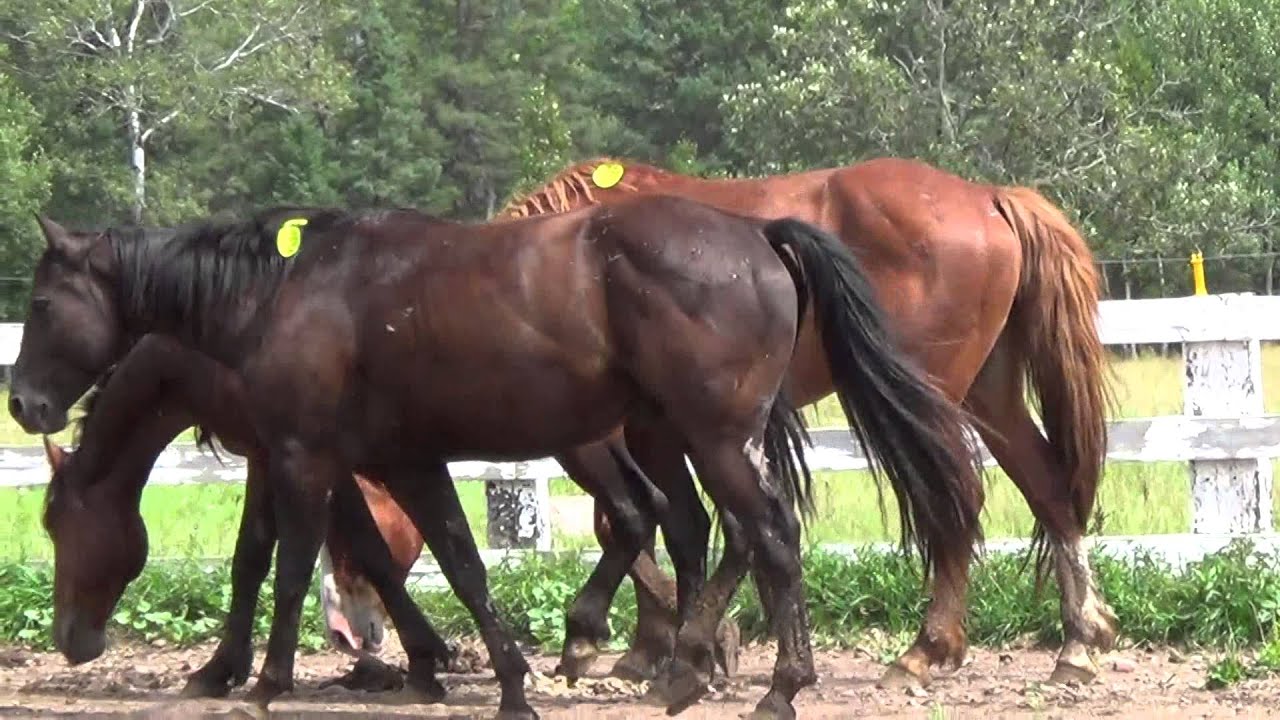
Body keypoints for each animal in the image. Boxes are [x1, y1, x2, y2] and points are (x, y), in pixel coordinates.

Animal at [38, 333, 456, 701]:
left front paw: (426, 660)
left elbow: (370, 548)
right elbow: (249, 561)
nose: (66, 639)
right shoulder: (266, 454)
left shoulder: (305, 457)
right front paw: (220, 669)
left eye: (53, 526)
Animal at [499, 155, 1118, 687]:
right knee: (1047, 489)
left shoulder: (616, 434)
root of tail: (987, 197)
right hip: (991, 396)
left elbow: (633, 521)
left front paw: (670, 639)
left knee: (958, 499)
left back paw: (925, 650)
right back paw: (1078, 640)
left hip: (930, 399)